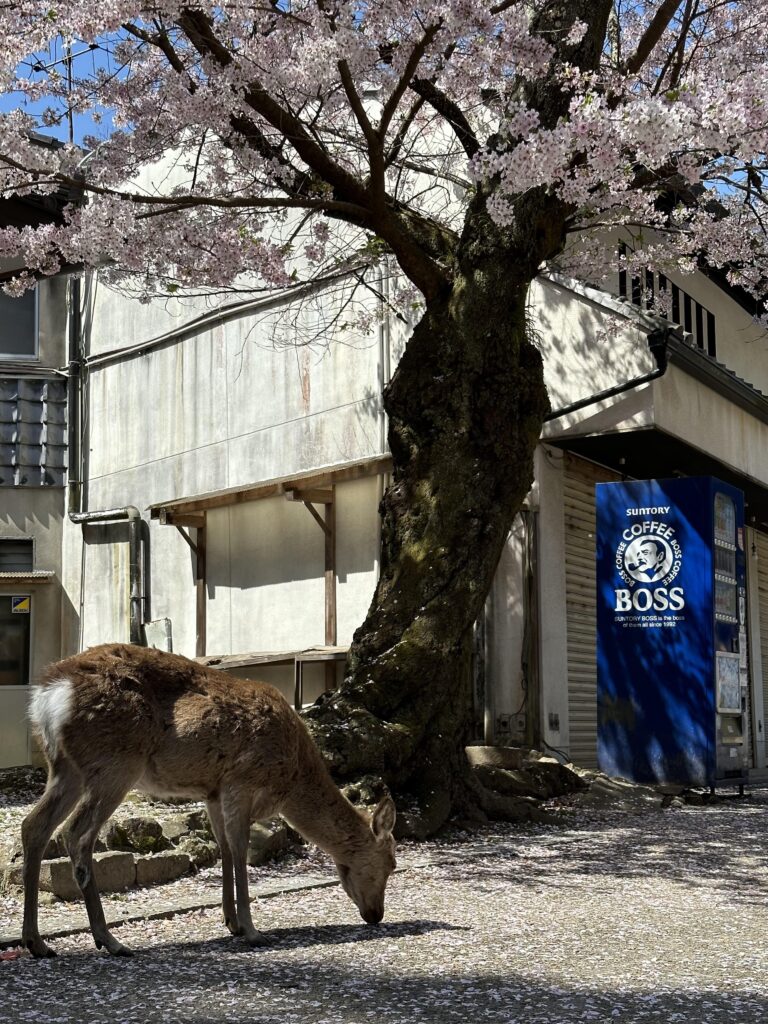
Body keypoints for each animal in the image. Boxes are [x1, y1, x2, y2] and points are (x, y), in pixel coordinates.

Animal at [21, 643, 397, 958]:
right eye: (391, 863)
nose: (376, 914)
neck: (291, 779)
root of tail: (49, 694)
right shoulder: (240, 781)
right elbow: (241, 848)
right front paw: (252, 931)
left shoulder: (213, 792)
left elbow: (225, 848)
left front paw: (232, 922)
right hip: (116, 762)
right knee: (76, 834)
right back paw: (110, 941)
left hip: (66, 767)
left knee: (34, 825)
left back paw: (37, 942)